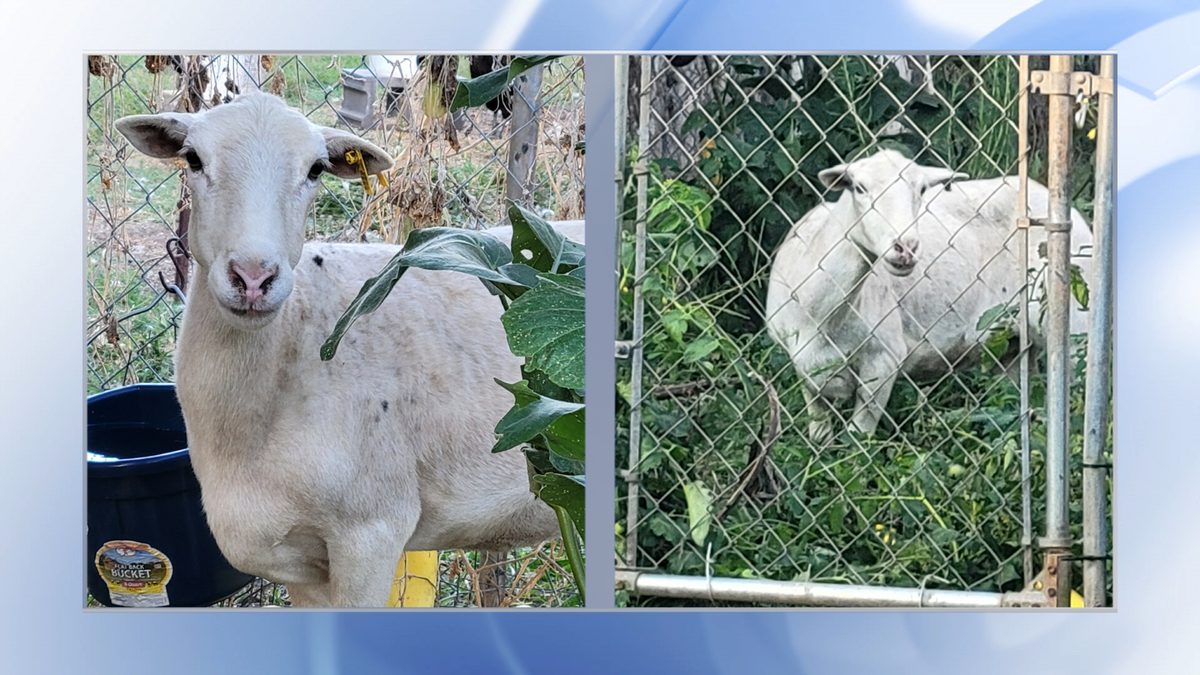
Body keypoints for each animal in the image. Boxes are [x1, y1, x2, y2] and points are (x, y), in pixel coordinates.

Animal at [765, 149, 1092, 441]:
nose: (906, 247)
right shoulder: (806, 372)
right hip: (1010, 346)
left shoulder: (883, 361)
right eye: (859, 188)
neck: (821, 316)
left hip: (1076, 324)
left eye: (921, 189)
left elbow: (857, 441)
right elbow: (820, 436)